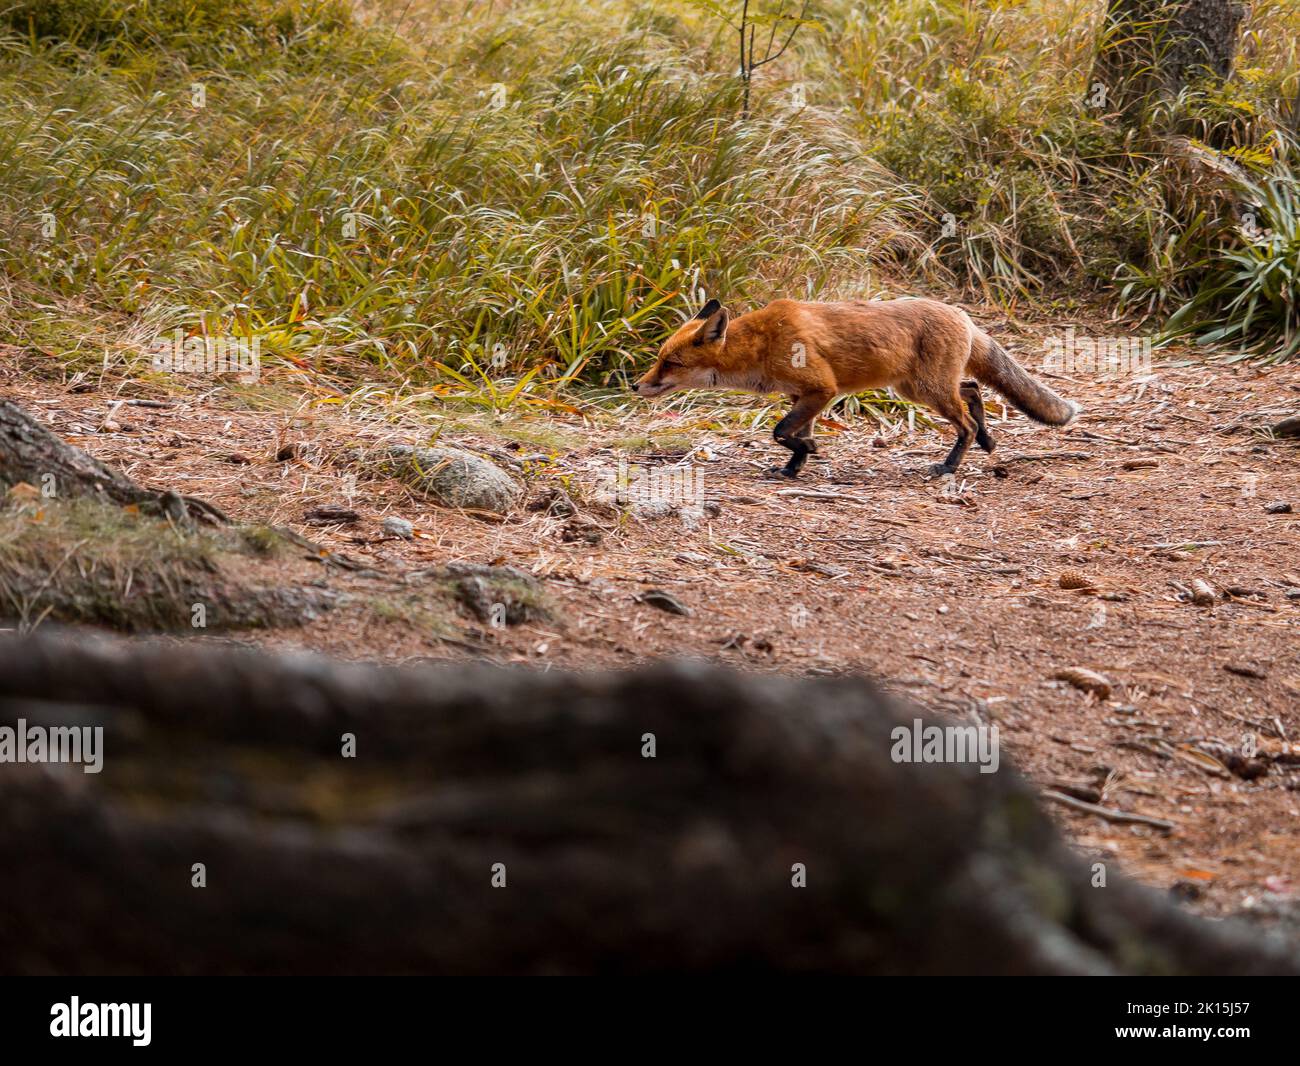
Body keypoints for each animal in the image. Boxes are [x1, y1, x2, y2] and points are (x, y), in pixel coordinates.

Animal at [632, 297, 1079, 478]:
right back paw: (987, 439)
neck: (761, 344)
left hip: (928, 390)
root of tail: (961, 313)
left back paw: (951, 465)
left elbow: (780, 431)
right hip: (917, 390)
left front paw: (805, 452)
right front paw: (793, 467)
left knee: (965, 419)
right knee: (971, 390)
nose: (637, 385)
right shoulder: (802, 395)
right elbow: (794, 434)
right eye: (659, 358)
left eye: (670, 363)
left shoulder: (821, 389)